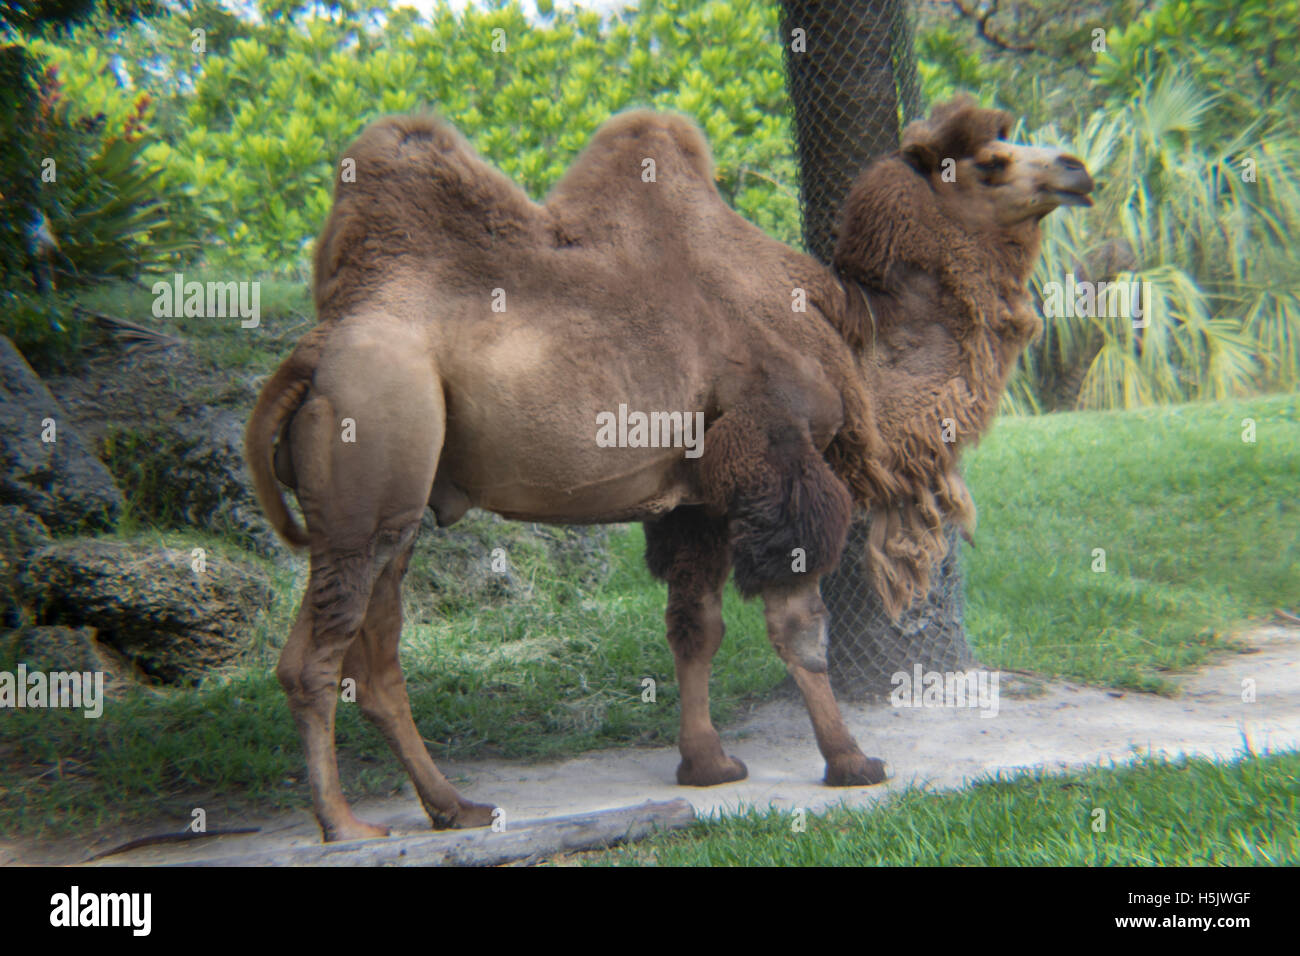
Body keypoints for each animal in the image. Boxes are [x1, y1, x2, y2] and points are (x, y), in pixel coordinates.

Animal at [245, 95, 1093, 841]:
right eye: (989, 161)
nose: (1078, 169)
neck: (851, 333)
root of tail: (311, 354)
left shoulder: (698, 497)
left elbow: (695, 628)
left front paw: (708, 764)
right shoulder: (777, 454)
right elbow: (796, 626)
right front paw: (851, 760)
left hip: (399, 507)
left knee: (376, 659)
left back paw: (457, 809)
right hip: (369, 465)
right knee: (314, 659)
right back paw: (345, 825)